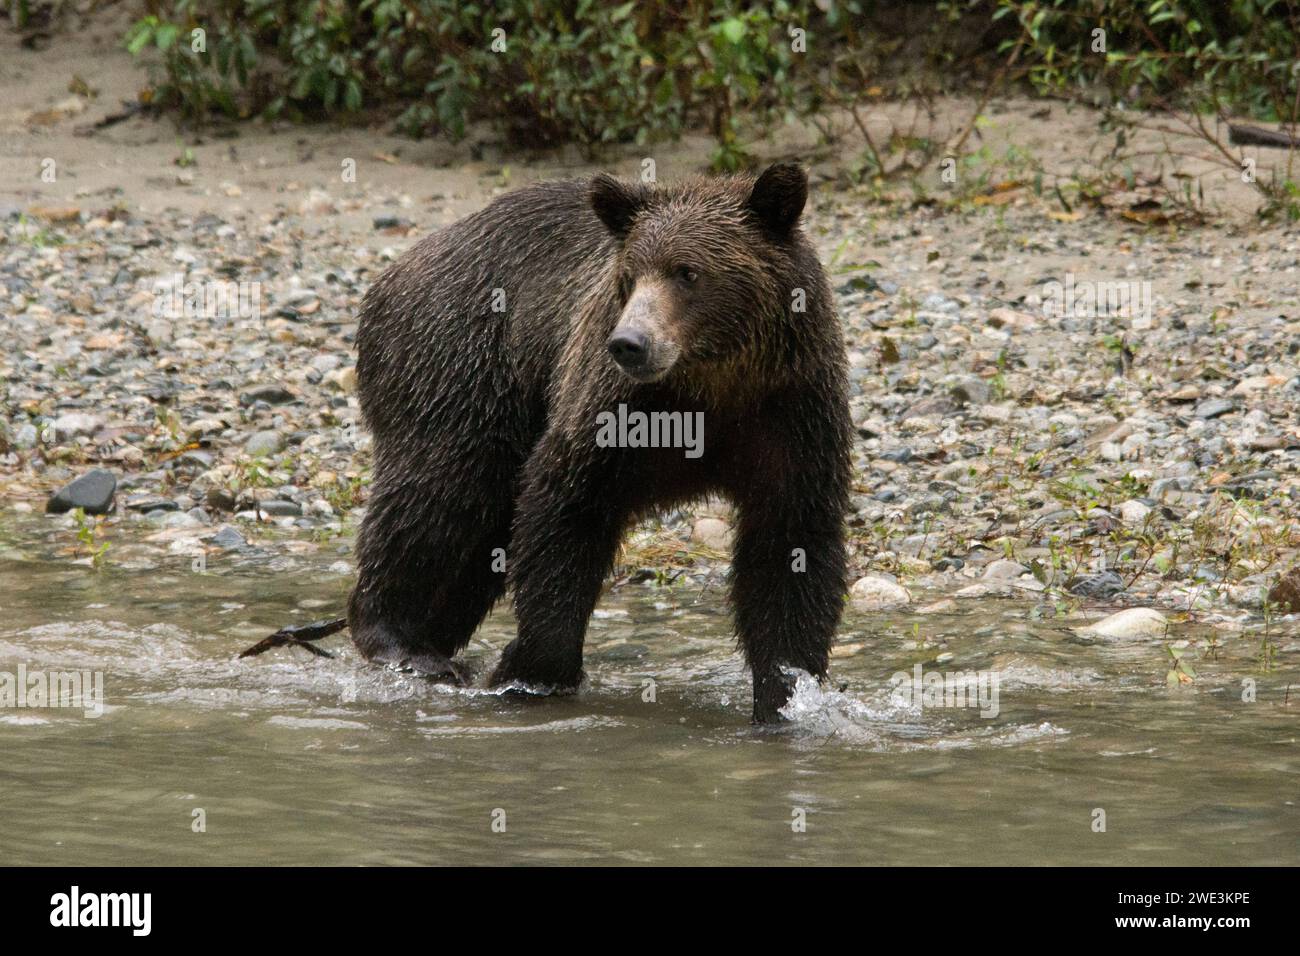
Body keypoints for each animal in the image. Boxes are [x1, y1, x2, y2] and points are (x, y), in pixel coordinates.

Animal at [345, 162, 850, 722]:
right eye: (629, 276)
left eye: (688, 271)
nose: (630, 343)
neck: (713, 386)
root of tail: (397, 268)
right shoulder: (612, 412)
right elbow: (565, 508)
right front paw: (531, 669)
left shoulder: (791, 417)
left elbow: (790, 547)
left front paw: (787, 694)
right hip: (461, 358)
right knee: (440, 489)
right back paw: (400, 639)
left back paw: (434, 638)